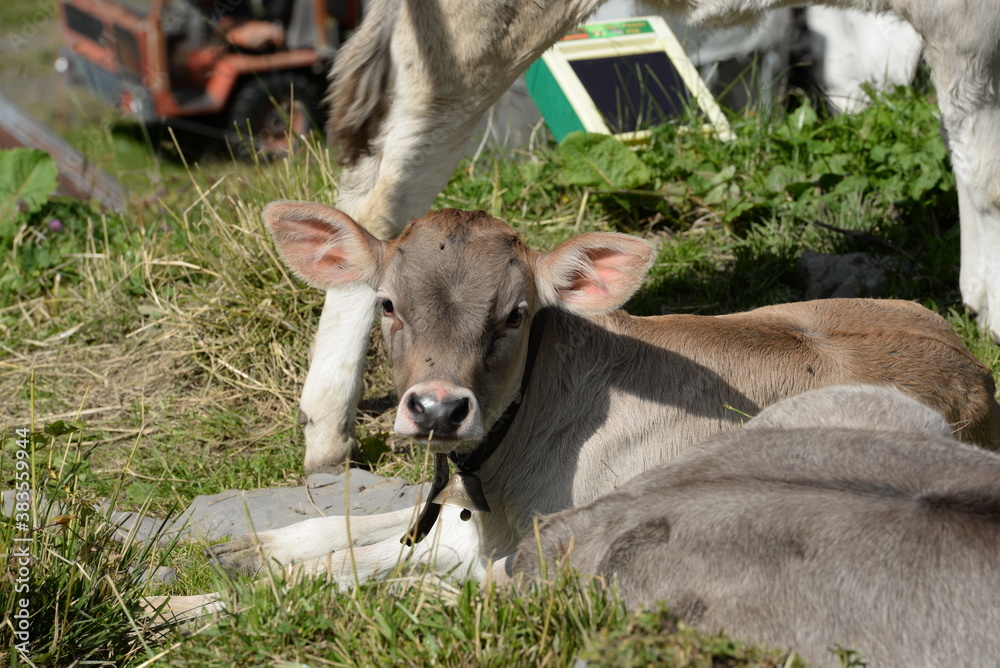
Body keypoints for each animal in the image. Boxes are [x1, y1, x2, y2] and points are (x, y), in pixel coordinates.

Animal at [198, 203, 999, 590]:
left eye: (516, 314)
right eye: (388, 304)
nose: (437, 409)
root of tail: (971, 367)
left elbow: (367, 569)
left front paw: (201, 600)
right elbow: (352, 528)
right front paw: (236, 556)